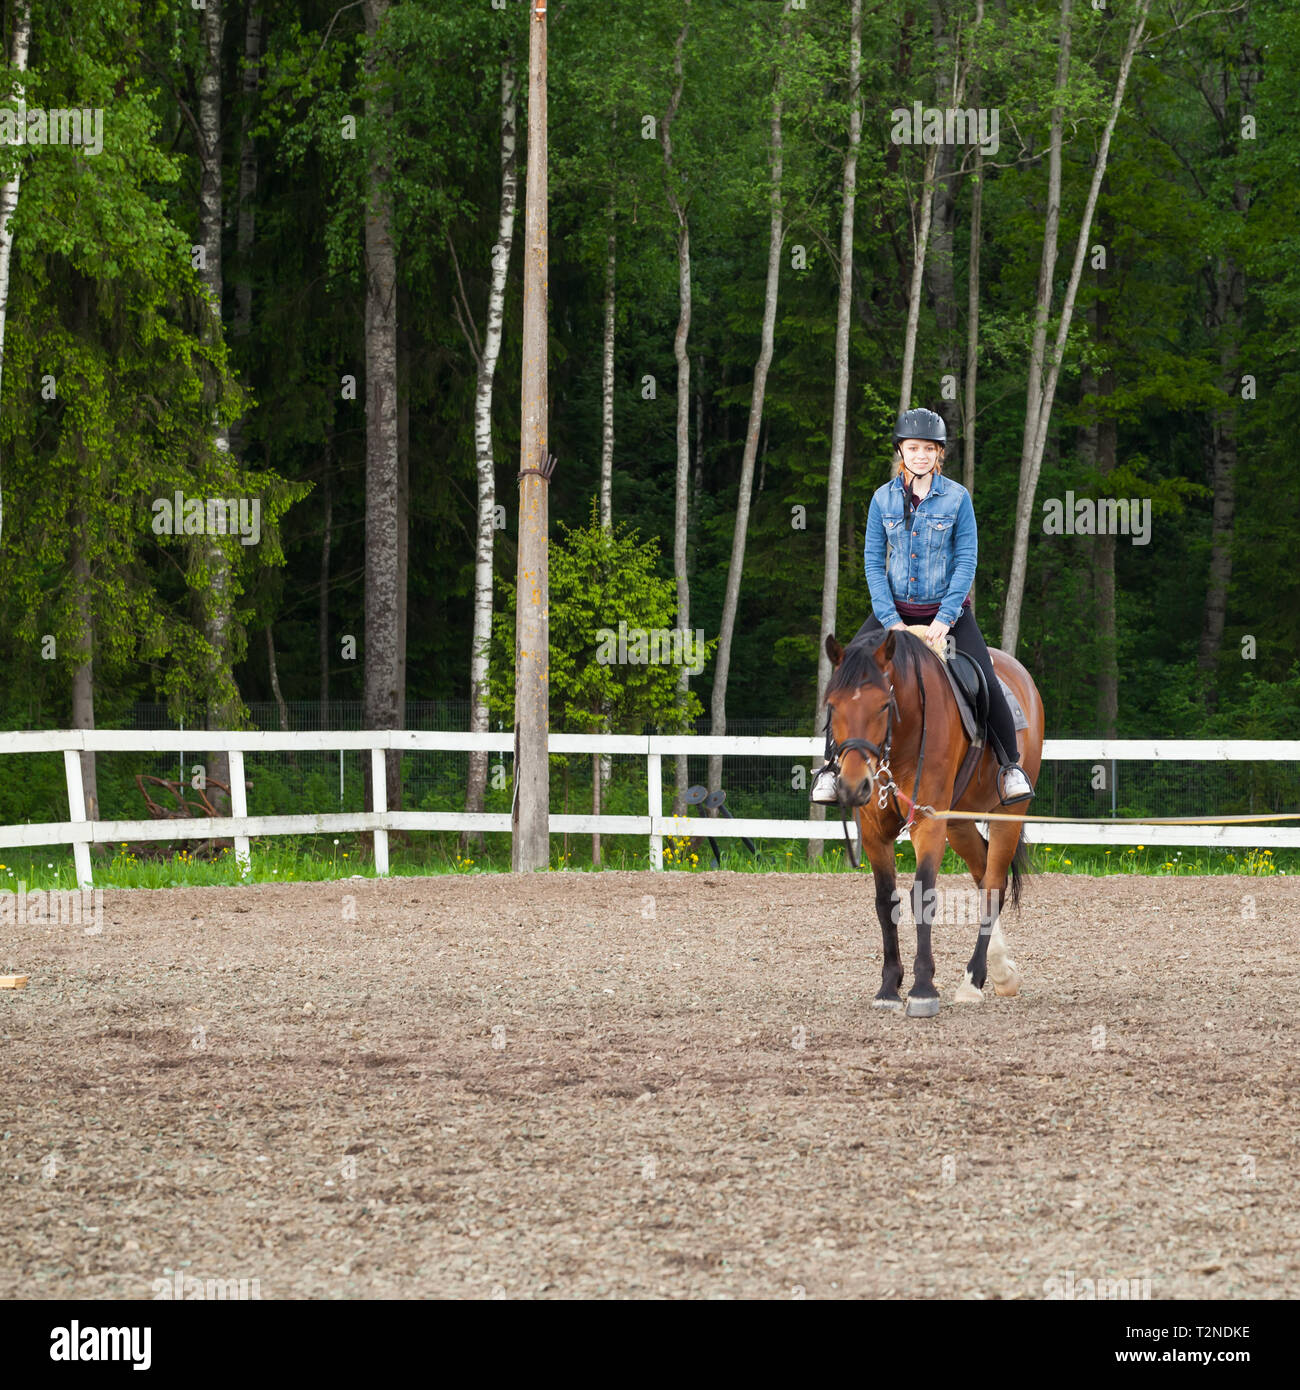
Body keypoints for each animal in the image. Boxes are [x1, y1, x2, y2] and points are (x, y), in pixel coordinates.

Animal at [823, 626, 1045, 1018]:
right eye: (833, 705)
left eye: (884, 705)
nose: (852, 785)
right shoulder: (875, 831)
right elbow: (886, 901)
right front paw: (888, 987)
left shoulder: (929, 823)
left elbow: (923, 896)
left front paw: (923, 989)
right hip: (959, 824)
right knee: (984, 877)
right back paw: (1000, 973)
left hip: (1007, 815)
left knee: (992, 885)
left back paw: (974, 979)